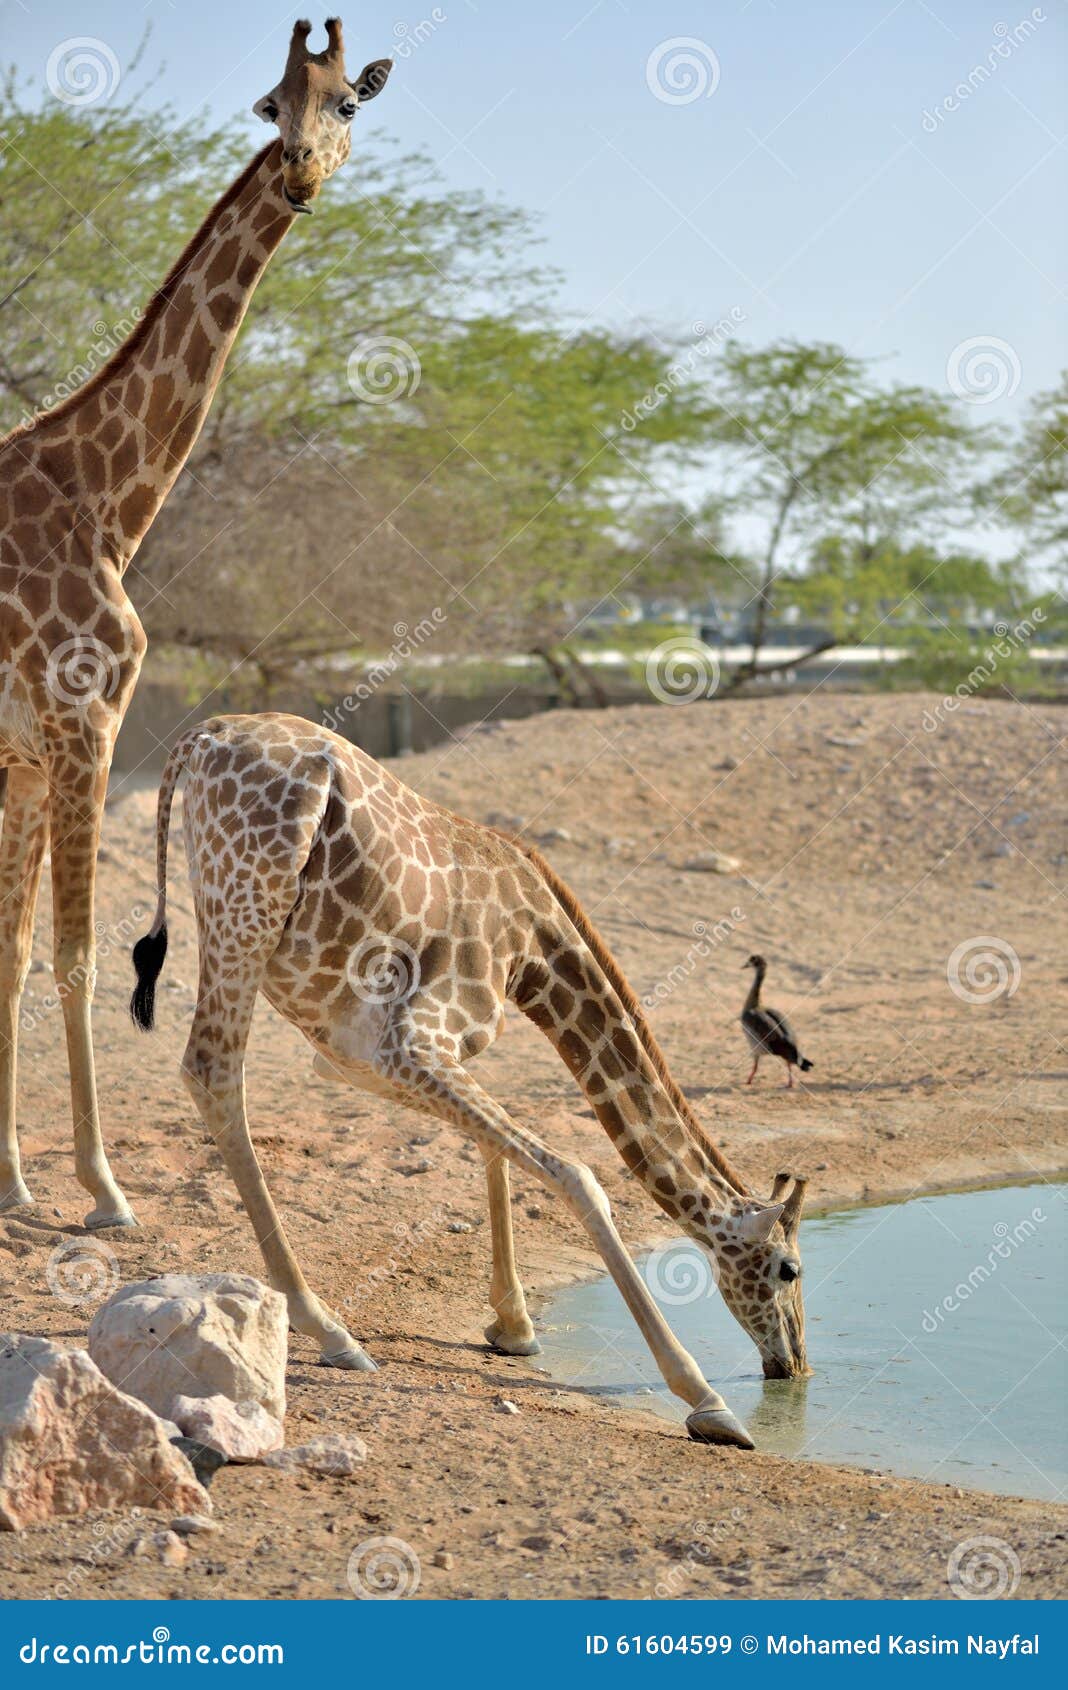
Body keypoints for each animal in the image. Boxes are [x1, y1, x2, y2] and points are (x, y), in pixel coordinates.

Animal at [0, 21, 391, 1225]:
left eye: (346, 102)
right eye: (271, 102)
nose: (300, 171)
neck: (103, 498)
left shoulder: (28, 754)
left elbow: (18, 954)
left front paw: (18, 1183)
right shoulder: (83, 724)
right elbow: (79, 956)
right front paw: (102, 1190)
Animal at [131, 714, 811, 1450]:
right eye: (789, 1269)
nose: (793, 1365)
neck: (532, 949)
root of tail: (201, 736)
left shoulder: (355, 1054)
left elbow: (496, 1147)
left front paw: (513, 1326)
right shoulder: (410, 1041)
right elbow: (580, 1176)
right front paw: (705, 1398)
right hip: (246, 913)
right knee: (211, 1068)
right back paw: (331, 1332)